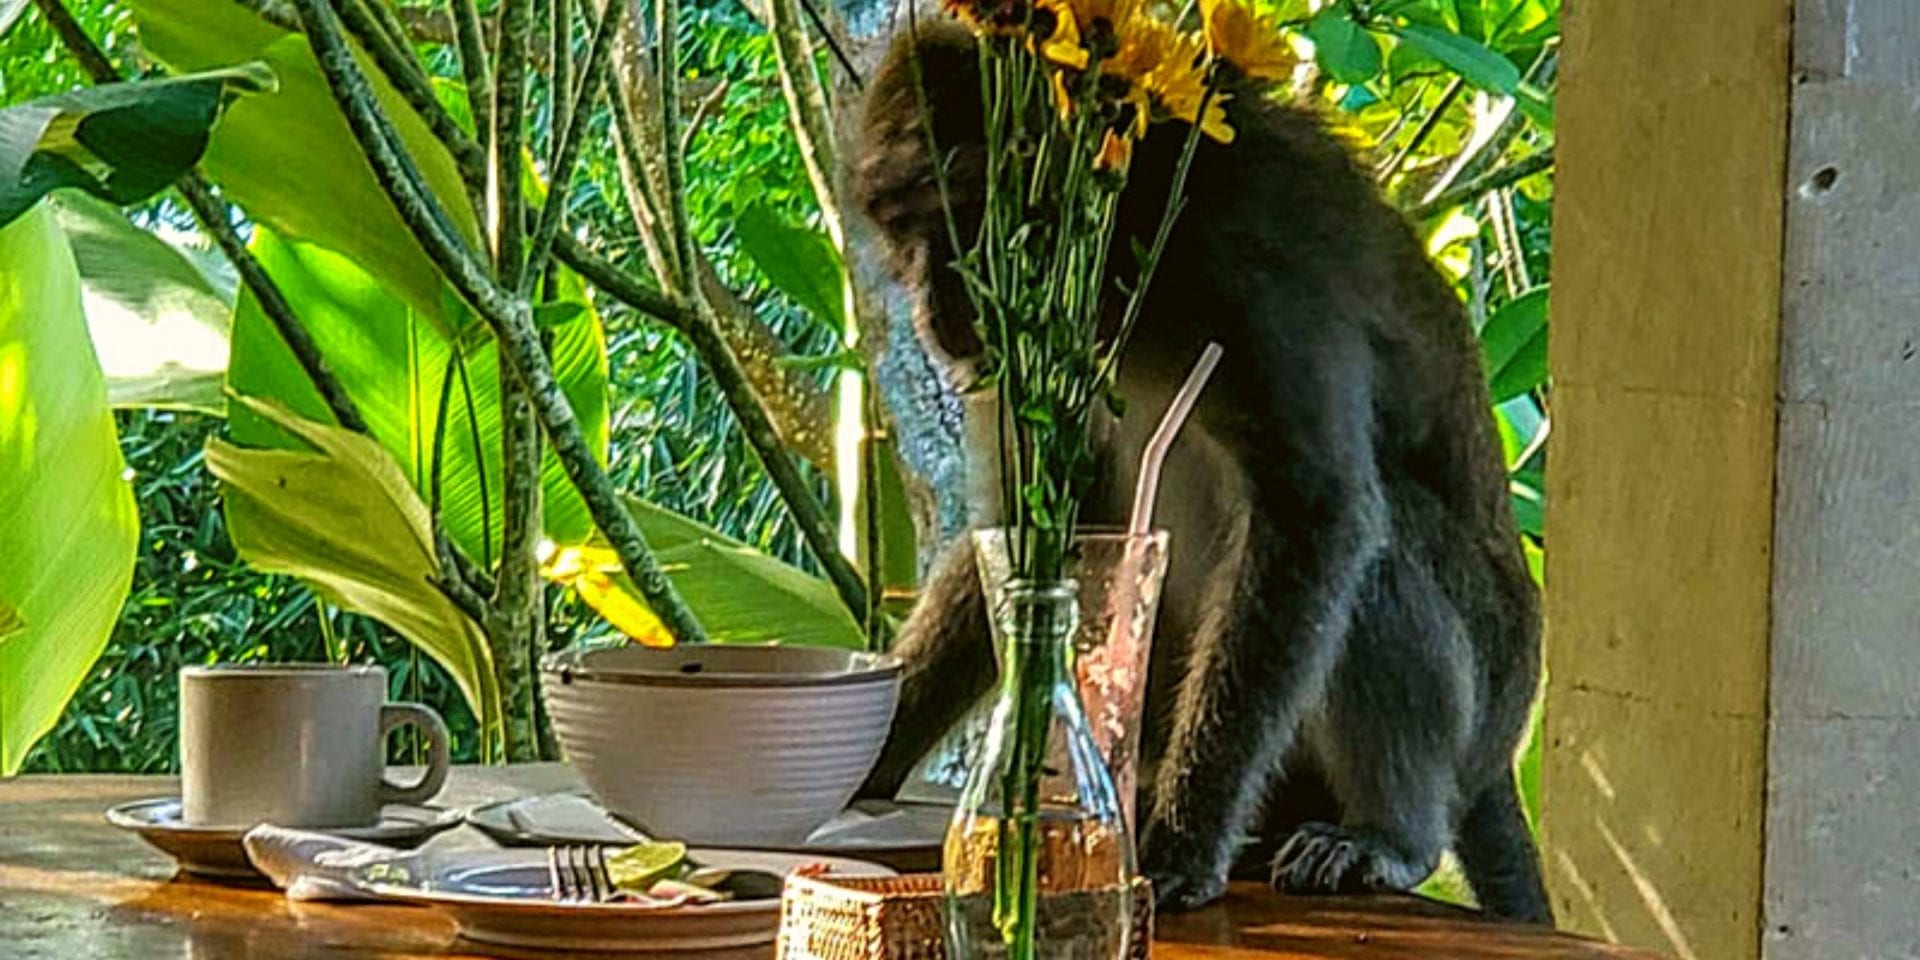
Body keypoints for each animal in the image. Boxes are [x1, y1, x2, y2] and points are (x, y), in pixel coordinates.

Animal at [848, 21, 1552, 925]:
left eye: (957, 213)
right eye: (897, 224)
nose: (933, 304)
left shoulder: (1243, 257)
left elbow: (1315, 507)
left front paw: (1184, 839)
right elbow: (1028, 534)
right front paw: (867, 754)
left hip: (1488, 692)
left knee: (1385, 543)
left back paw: (1389, 835)